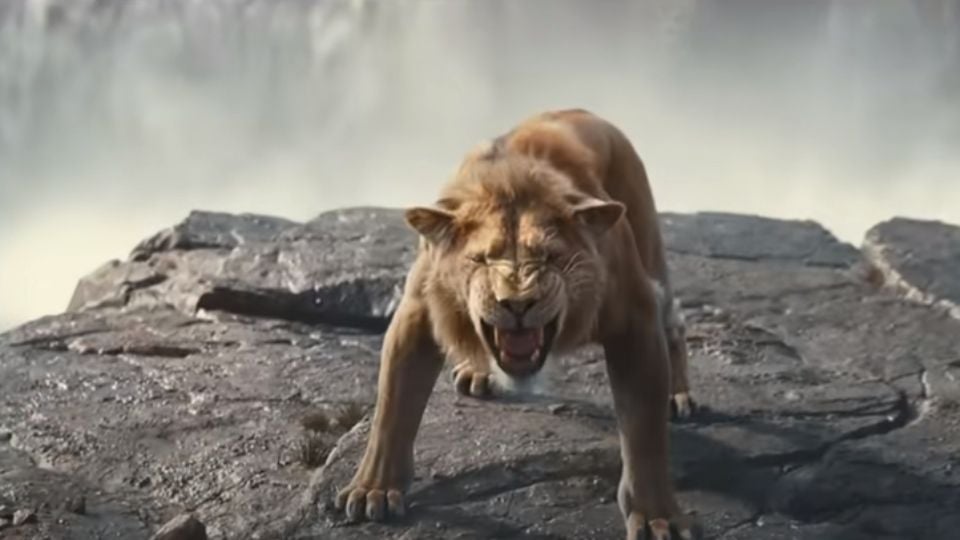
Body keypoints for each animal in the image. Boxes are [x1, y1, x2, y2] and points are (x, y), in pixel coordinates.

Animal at [334, 109, 699, 539]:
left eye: (550, 257)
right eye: (481, 259)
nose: (518, 303)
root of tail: (586, 112)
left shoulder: (635, 316)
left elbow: (645, 434)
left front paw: (659, 517)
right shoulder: (418, 312)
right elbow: (392, 410)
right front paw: (372, 489)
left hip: (648, 243)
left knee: (674, 321)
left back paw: (677, 396)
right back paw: (476, 373)